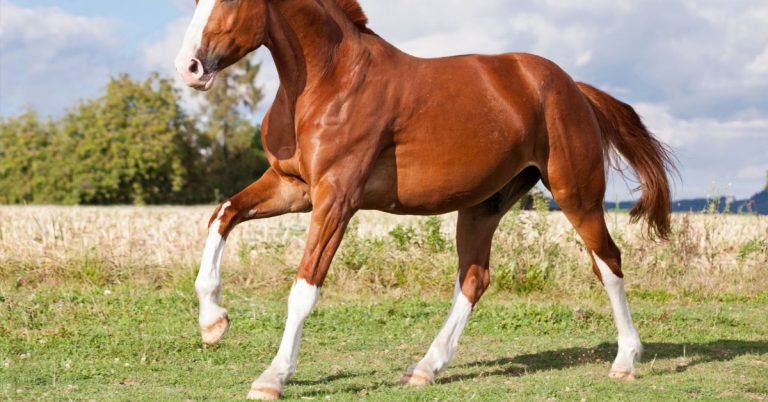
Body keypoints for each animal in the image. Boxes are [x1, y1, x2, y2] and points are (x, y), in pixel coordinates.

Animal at [175, 0, 674, 400]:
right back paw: (425, 368)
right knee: (474, 279)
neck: (329, 81)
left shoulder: (336, 197)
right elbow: (222, 216)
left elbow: (303, 287)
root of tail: (573, 89)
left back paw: (626, 361)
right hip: (483, 206)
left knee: (608, 262)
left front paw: (272, 377)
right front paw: (213, 323)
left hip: (577, 195)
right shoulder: (290, 186)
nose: (189, 68)